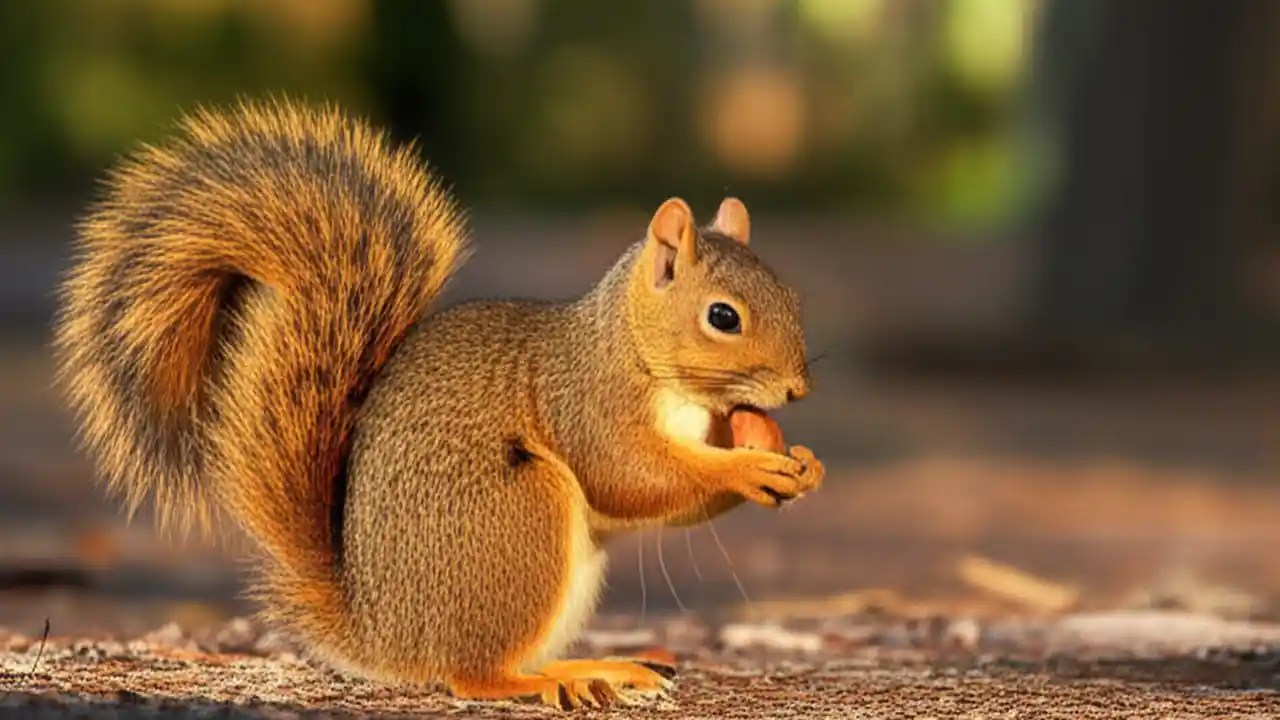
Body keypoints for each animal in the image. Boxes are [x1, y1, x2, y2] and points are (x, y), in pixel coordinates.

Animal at [54, 99, 823, 710]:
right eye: (723, 317)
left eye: (789, 292)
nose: (797, 390)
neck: (642, 355)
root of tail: (379, 632)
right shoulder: (587, 402)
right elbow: (631, 479)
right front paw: (749, 470)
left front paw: (803, 466)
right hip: (516, 515)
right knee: (473, 675)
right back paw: (558, 679)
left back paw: (603, 666)